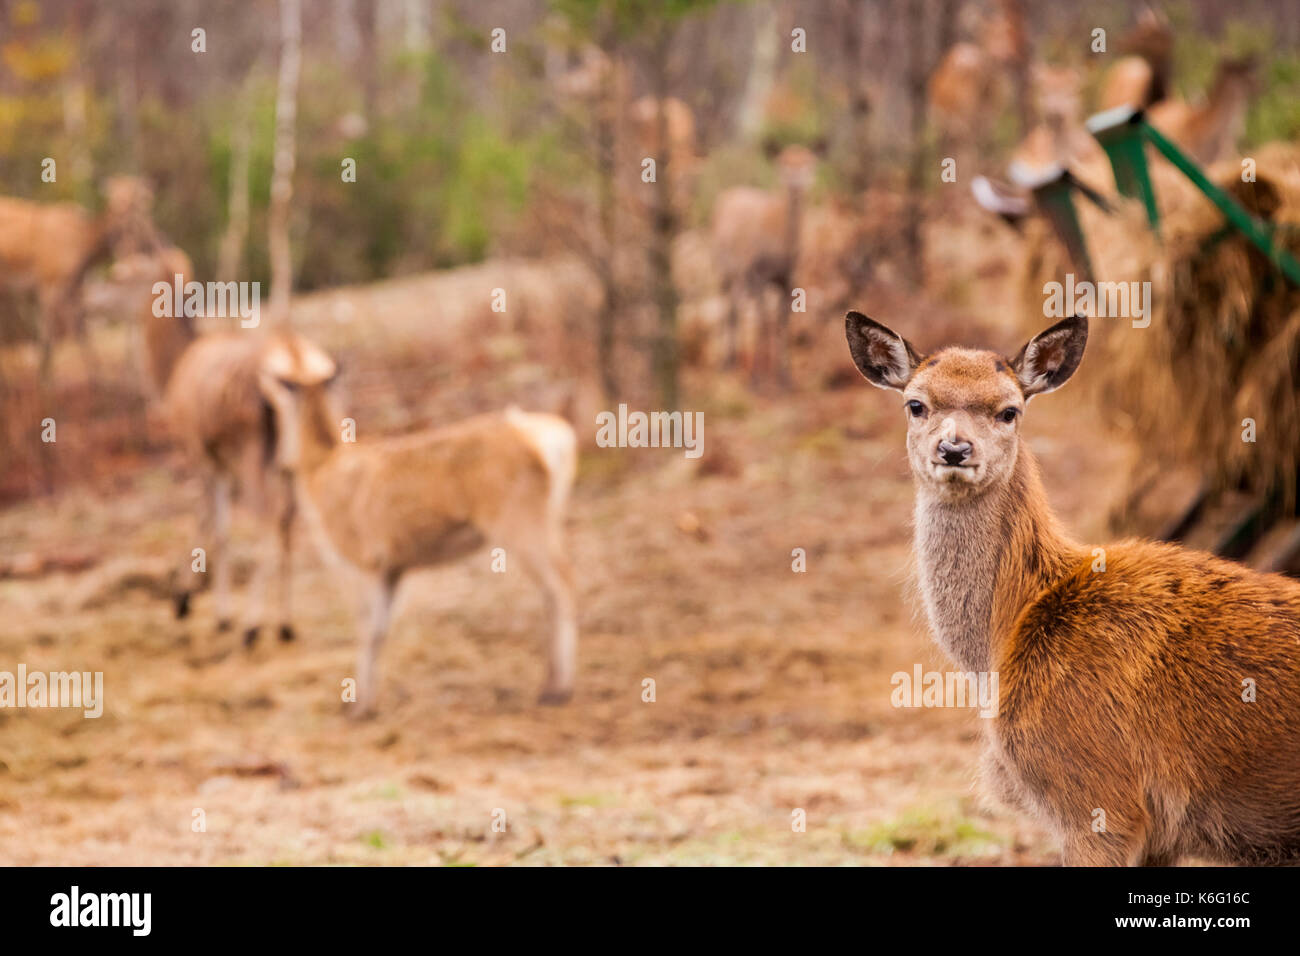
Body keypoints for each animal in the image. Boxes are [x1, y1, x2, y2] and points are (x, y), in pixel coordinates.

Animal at [255, 342, 579, 716]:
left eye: (276, 408)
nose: (278, 461)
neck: (320, 473)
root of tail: (557, 440)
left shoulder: (362, 557)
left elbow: (366, 628)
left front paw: (360, 707)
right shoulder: (393, 567)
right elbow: (381, 629)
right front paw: (370, 701)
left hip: (521, 520)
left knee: (563, 585)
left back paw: (560, 689)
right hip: (547, 518)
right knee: (552, 590)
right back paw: (548, 684)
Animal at [711, 144, 816, 386]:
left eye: (807, 161)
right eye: (784, 163)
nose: (795, 181)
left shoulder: (787, 279)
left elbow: (782, 320)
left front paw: (785, 377)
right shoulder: (758, 275)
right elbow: (762, 321)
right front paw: (757, 378)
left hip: (739, 276)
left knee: (735, 308)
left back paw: (733, 360)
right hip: (722, 269)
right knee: (727, 307)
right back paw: (726, 363)